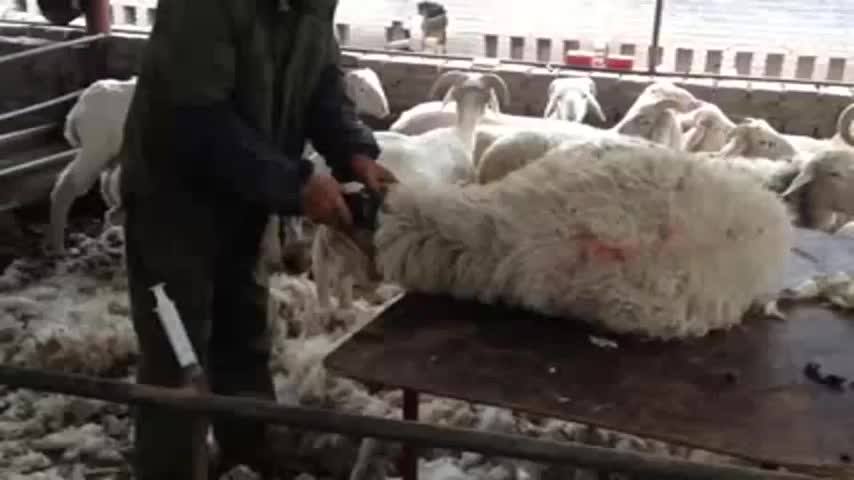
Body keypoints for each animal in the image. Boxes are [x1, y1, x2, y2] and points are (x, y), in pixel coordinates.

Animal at [47, 68, 390, 255]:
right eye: (363, 87)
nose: (386, 111)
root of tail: (76, 111)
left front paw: (294, 237)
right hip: (95, 147)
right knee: (67, 187)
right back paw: (59, 245)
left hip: (112, 154)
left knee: (108, 193)